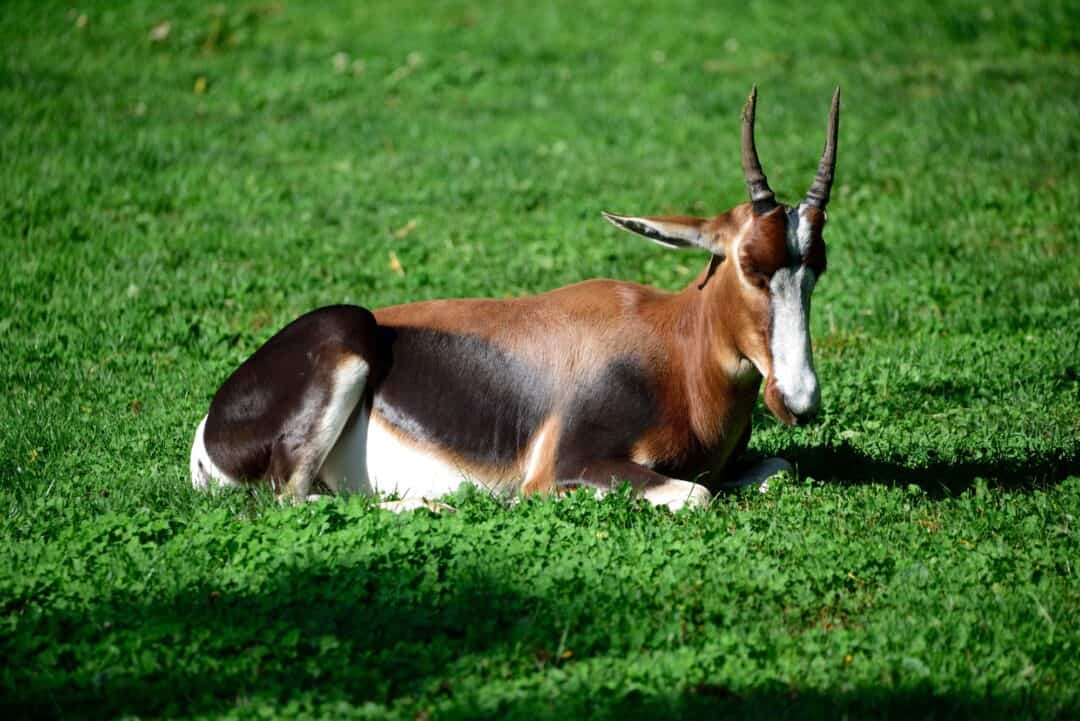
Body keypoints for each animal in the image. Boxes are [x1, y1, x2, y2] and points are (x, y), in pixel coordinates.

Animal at [190, 86, 839, 511]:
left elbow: (778, 468)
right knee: (292, 501)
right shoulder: (567, 467)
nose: (800, 400)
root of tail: (207, 435)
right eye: (749, 264)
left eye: (817, 265)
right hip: (342, 339)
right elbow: (698, 495)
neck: (677, 353)